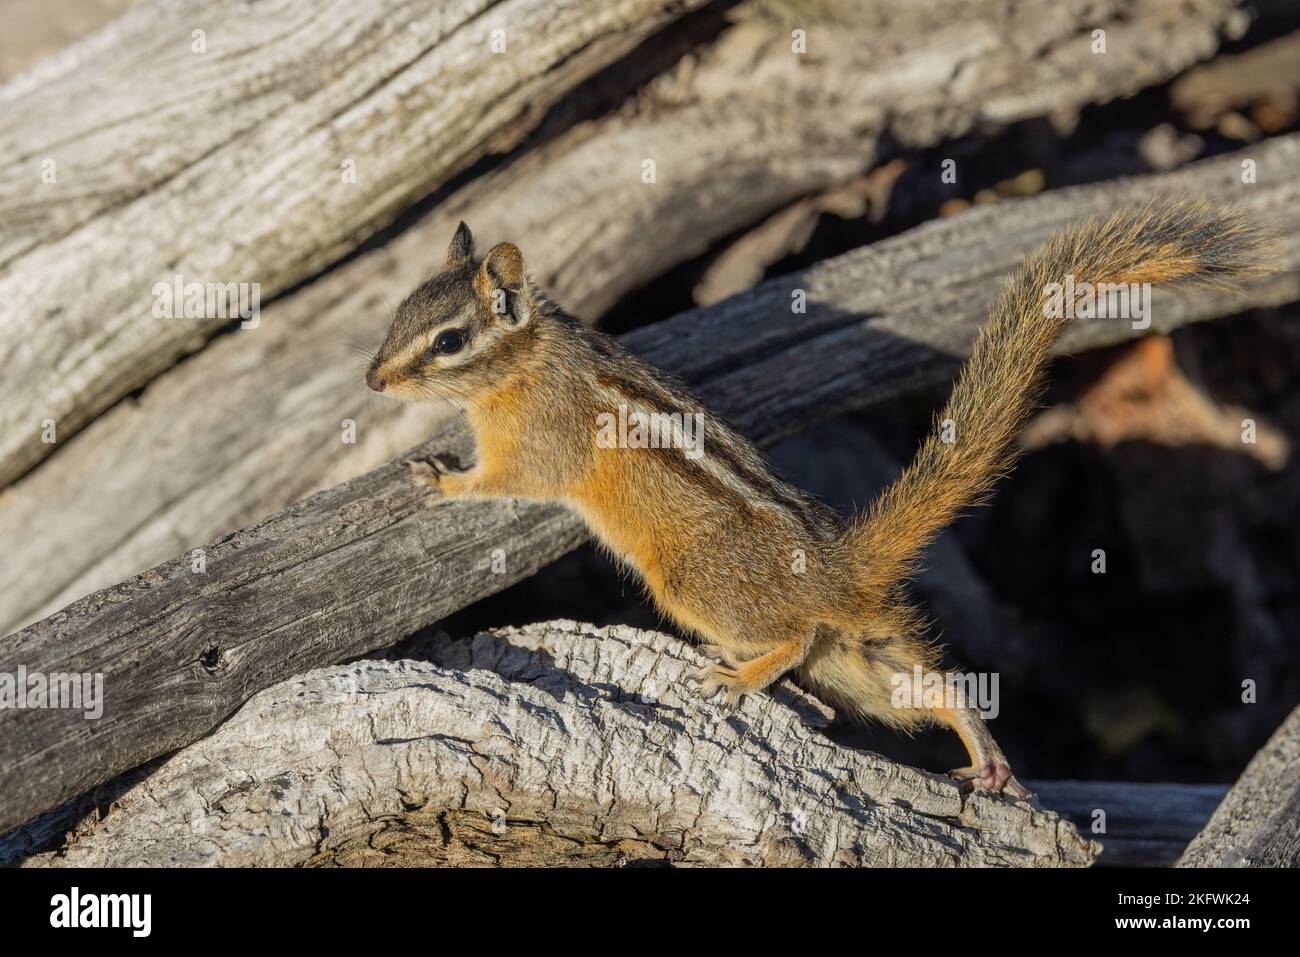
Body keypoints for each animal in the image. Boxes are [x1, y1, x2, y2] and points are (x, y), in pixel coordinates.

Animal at [365, 202, 1267, 796]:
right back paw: (986, 753)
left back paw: (739, 675)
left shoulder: (539, 443)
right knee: (932, 687)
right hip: (857, 658)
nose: (372, 379)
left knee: (792, 638)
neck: (528, 355)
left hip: (699, 586)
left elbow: (505, 481)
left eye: (448, 339)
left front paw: (441, 480)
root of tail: (841, 565)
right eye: (397, 309)